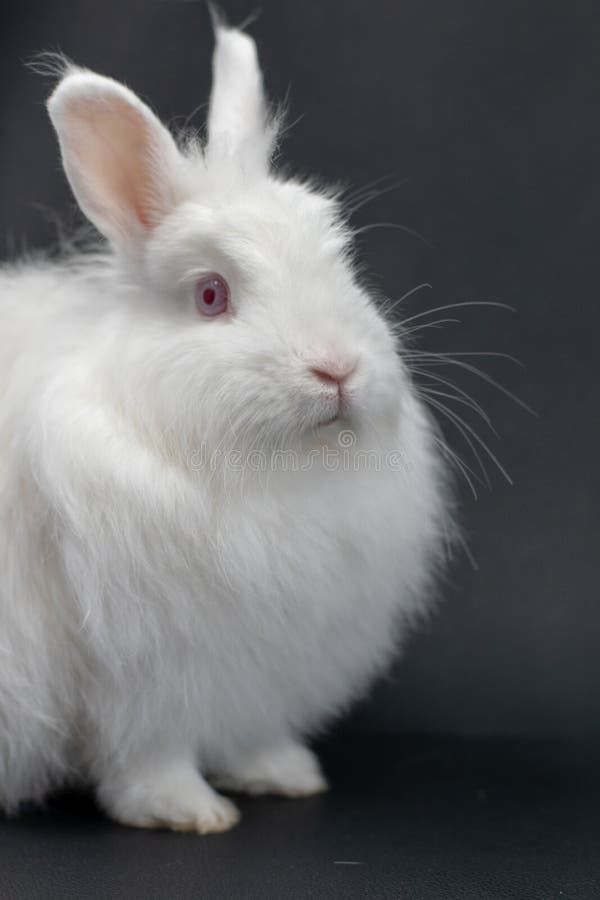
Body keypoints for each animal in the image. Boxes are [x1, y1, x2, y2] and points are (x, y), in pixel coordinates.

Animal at [0, 18, 453, 833]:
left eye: (343, 267)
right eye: (211, 295)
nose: (337, 368)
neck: (268, 476)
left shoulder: (249, 670)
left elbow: (246, 735)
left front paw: (286, 775)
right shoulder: (139, 671)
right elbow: (147, 757)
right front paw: (189, 811)